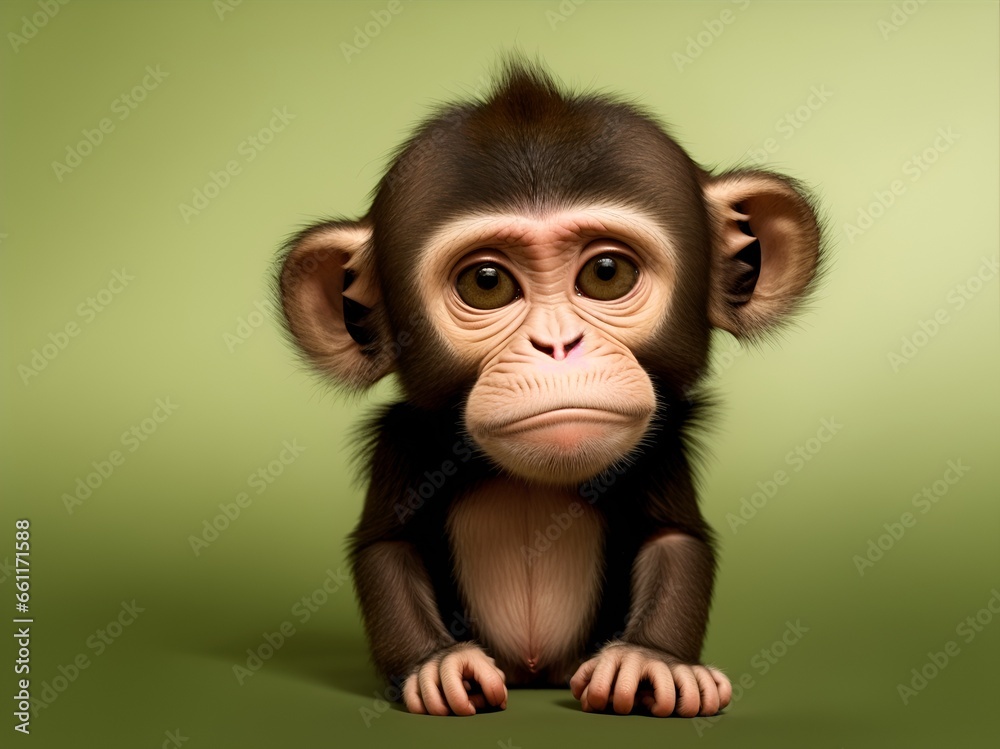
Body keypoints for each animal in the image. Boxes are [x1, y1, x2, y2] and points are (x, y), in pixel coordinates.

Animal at [276, 59, 821, 717]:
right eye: (486, 283)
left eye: (607, 273)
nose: (557, 344)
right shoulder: (404, 442)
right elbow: (388, 548)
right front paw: (438, 665)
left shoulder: (661, 444)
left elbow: (674, 540)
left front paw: (652, 662)